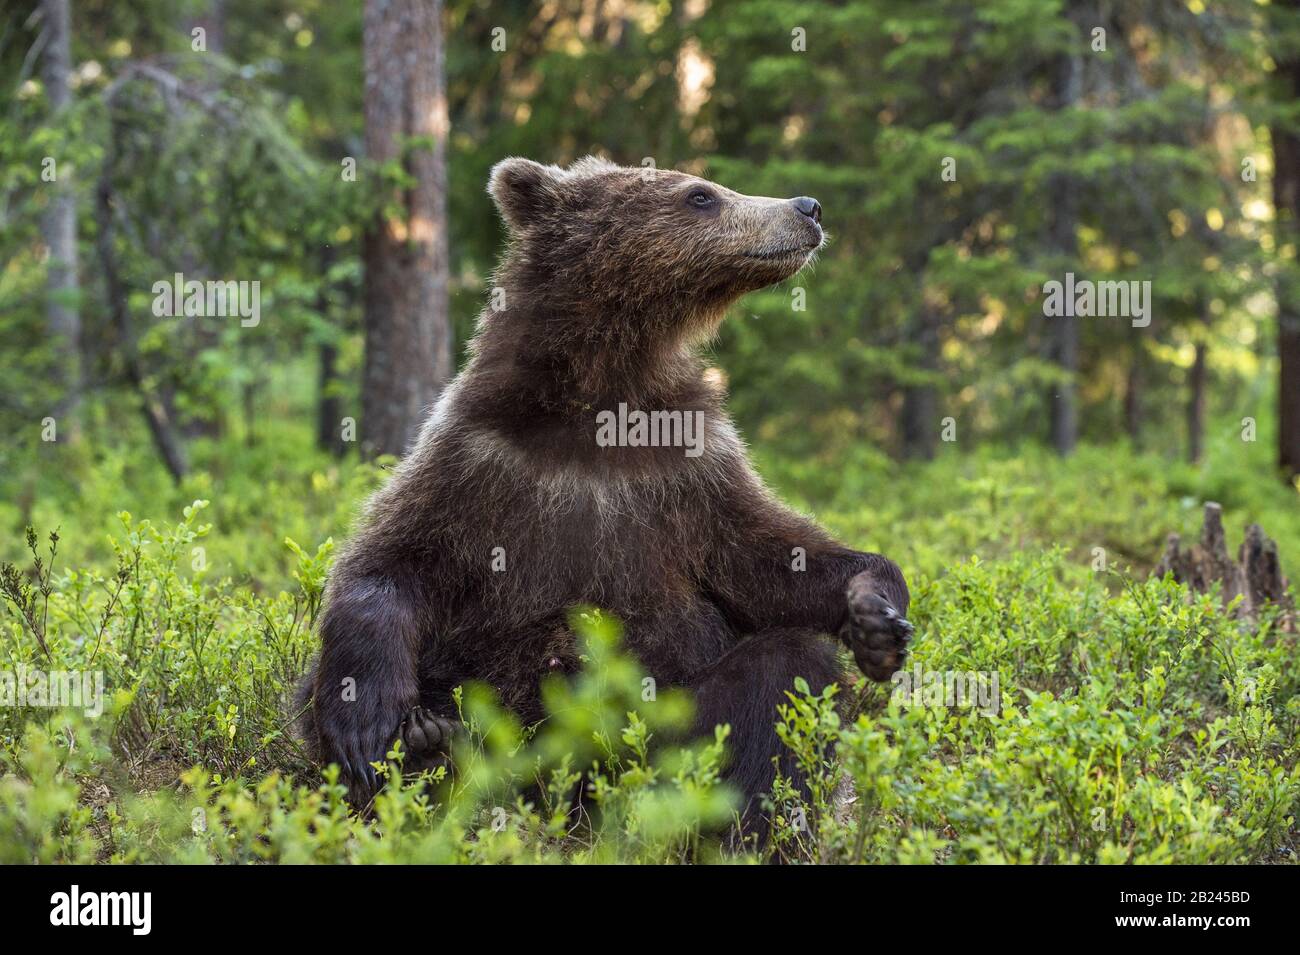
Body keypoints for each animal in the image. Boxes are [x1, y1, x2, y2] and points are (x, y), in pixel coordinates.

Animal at [295, 156, 913, 835]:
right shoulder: (481, 456)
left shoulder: (692, 471)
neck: (603, 395)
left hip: (674, 725)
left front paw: (876, 614)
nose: (808, 208)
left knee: (783, 671)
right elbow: (390, 562)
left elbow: (774, 561)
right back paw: (427, 740)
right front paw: (368, 723)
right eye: (701, 195)